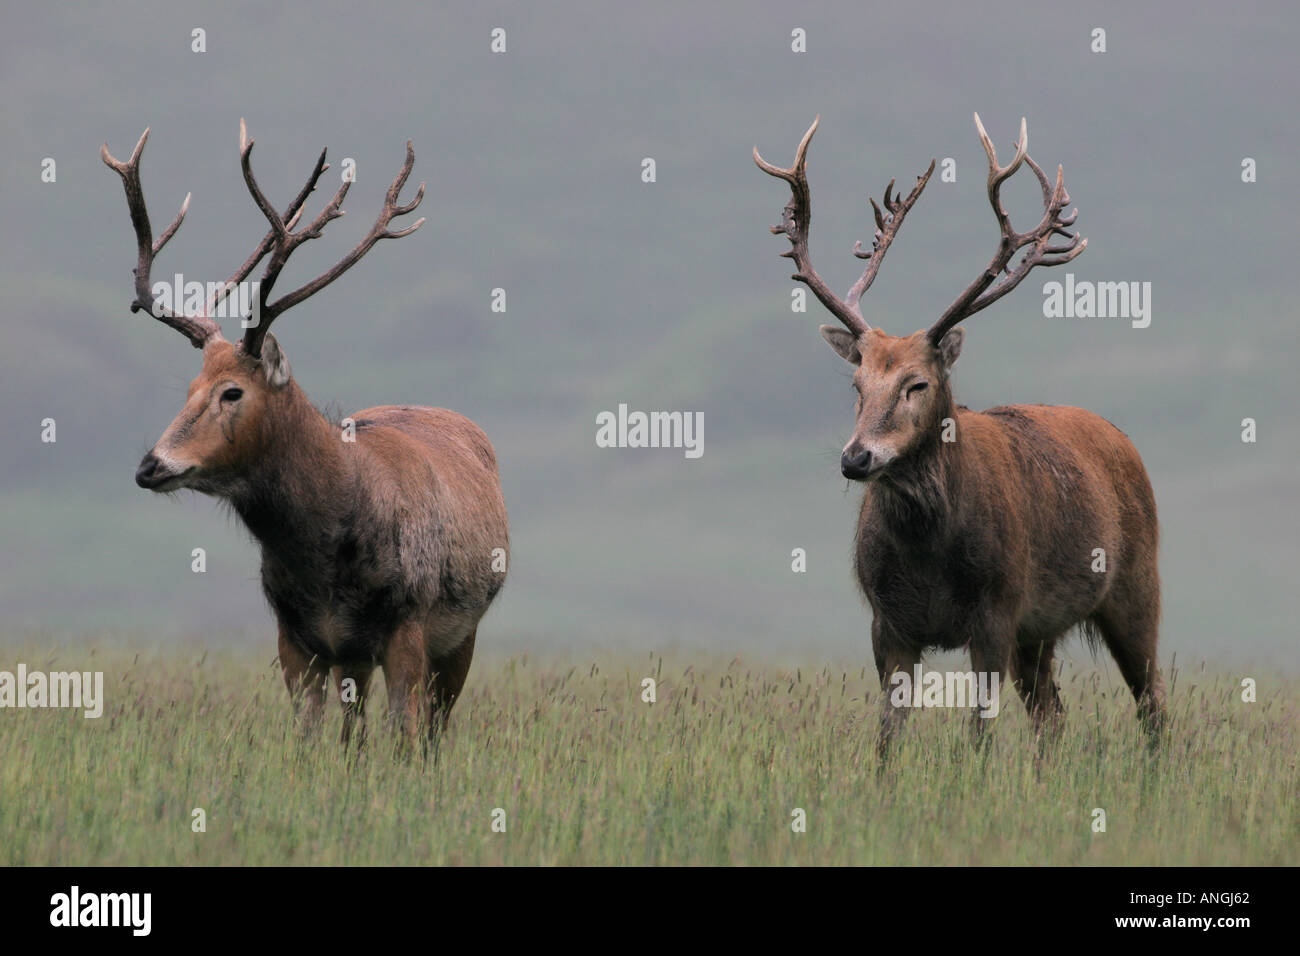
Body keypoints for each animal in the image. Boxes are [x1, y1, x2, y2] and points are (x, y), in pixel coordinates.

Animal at [102, 121, 508, 750]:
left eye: (232, 392)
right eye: (190, 385)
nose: (151, 466)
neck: (325, 563)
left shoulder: (409, 626)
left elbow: (406, 737)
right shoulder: (297, 637)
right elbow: (313, 739)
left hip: (461, 633)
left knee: (433, 730)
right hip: (356, 657)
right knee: (354, 730)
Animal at [755, 115, 1165, 758]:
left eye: (917, 383)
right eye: (857, 384)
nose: (856, 458)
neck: (929, 555)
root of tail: (1121, 439)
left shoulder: (997, 609)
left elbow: (979, 733)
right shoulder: (887, 624)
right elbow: (887, 737)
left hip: (1136, 584)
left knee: (1154, 707)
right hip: (1039, 631)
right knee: (1053, 715)